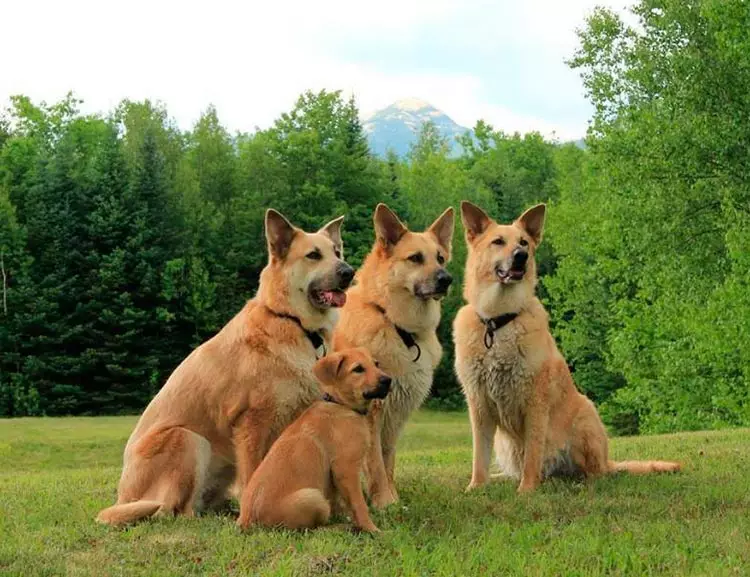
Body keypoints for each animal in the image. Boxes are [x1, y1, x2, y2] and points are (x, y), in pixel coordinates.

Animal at [97, 208, 356, 528]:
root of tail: (122, 499)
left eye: (337, 252)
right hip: (187, 439)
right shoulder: (252, 423)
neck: (289, 320)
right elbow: (255, 473)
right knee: (172, 511)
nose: (348, 272)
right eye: (313, 255)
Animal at [244, 346, 394, 532]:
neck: (340, 404)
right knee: (309, 528)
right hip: (312, 497)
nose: (388, 380)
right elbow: (359, 504)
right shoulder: (346, 468)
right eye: (358, 369)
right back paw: (338, 526)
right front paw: (372, 529)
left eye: (376, 364)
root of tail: (245, 521)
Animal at [336, 205, 458, 506]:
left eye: (440, 258)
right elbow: (376, 463)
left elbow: (388, 460)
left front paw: (393, 497)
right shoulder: (373, 414)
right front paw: (384, 502)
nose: (446, 279)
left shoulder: (396, 414)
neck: (396, 325)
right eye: (415, 258)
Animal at [452, 201, 680, 490]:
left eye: (524, 242)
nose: (521, 256)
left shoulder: (535, 402)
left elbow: (533, 453)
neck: (499, 321)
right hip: (506, 444)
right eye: (498, 241)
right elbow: (479, 456)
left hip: (585, 416)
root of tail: (609, 462)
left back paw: (576, 481)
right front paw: (476, 487)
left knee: (594, 473)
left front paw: (526, 490)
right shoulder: (479, 404)